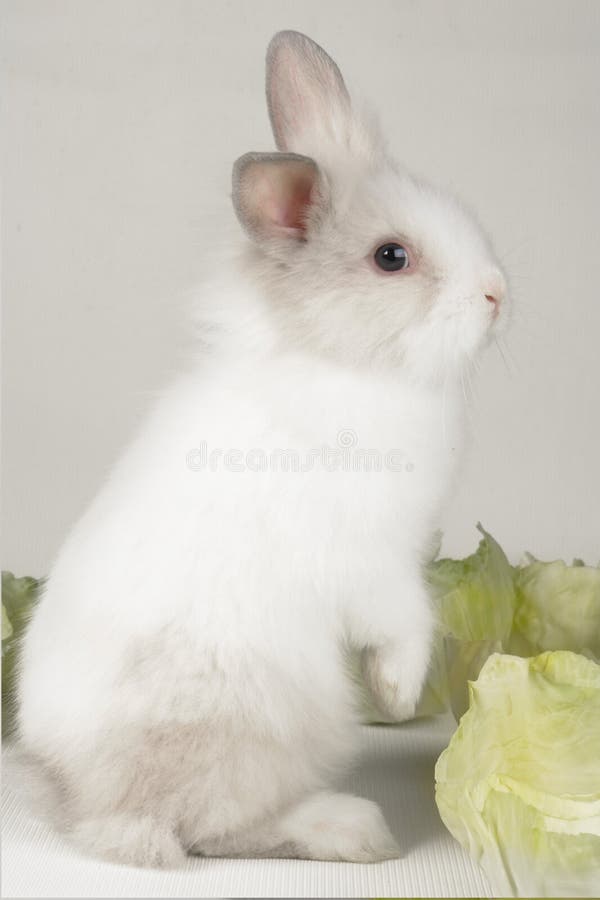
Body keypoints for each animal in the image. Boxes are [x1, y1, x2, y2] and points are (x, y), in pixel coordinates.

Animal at [16, 30, 508, 868]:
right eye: (391, 257)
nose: (498, 292)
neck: (346, 364)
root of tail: (91, 804)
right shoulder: (375, 562)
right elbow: (406, 623)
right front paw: (399, 693)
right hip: (268, 721)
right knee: (208, 829)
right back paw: (351, 831)